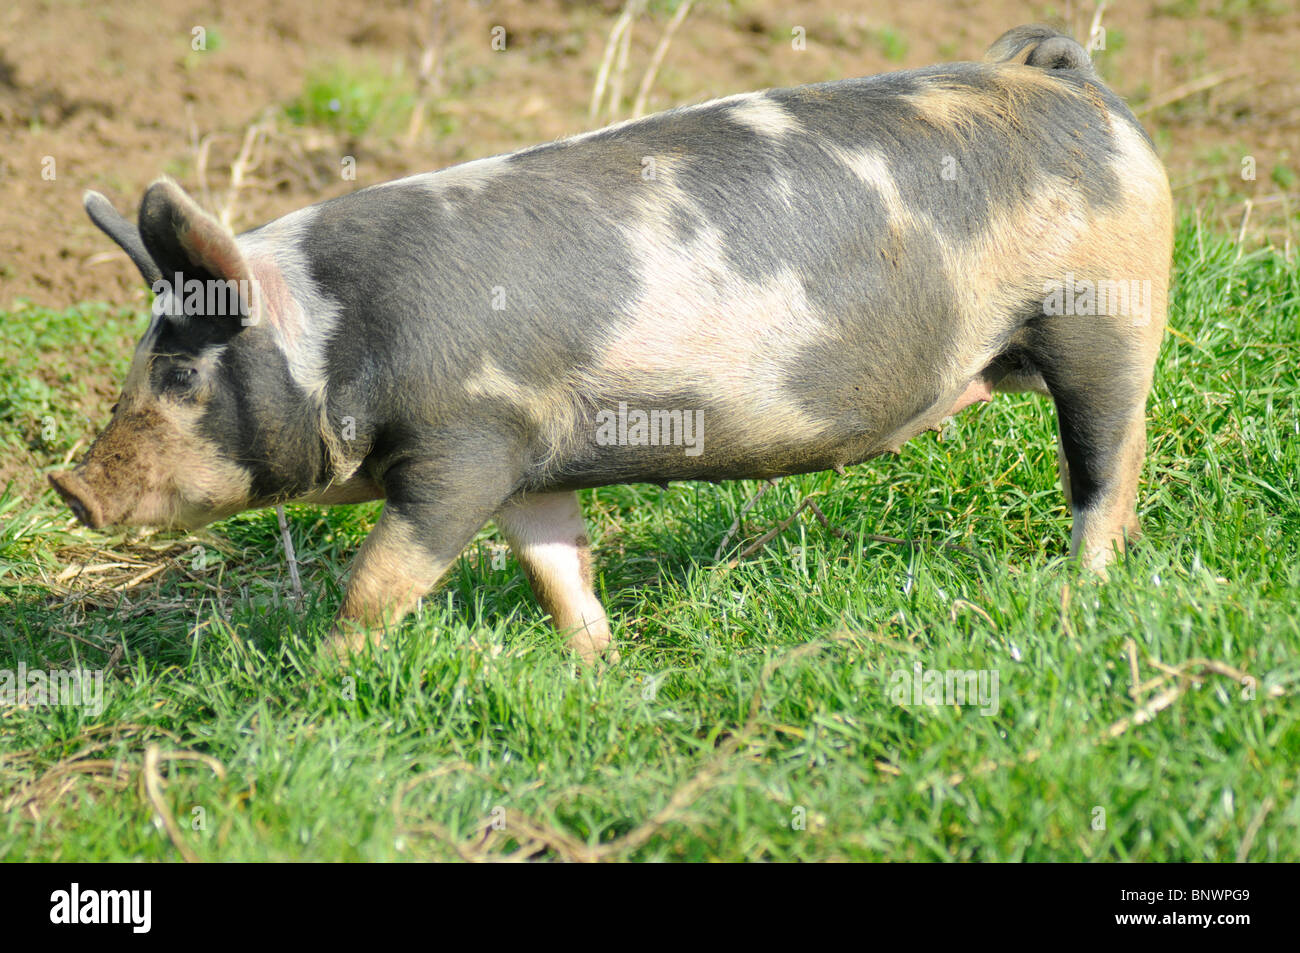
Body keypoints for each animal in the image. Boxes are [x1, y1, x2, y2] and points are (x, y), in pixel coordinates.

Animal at [51, 24, 1171, 663]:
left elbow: (381, 577)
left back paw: (1078, 592)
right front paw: (598, 665)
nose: (71, 487)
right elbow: (557, 564)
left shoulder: (464, 441)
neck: (338, 335)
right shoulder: (530, 457)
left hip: (1102, 319)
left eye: (181, 368)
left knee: (1109, 464)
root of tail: (1072, 84)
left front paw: (324, 674)